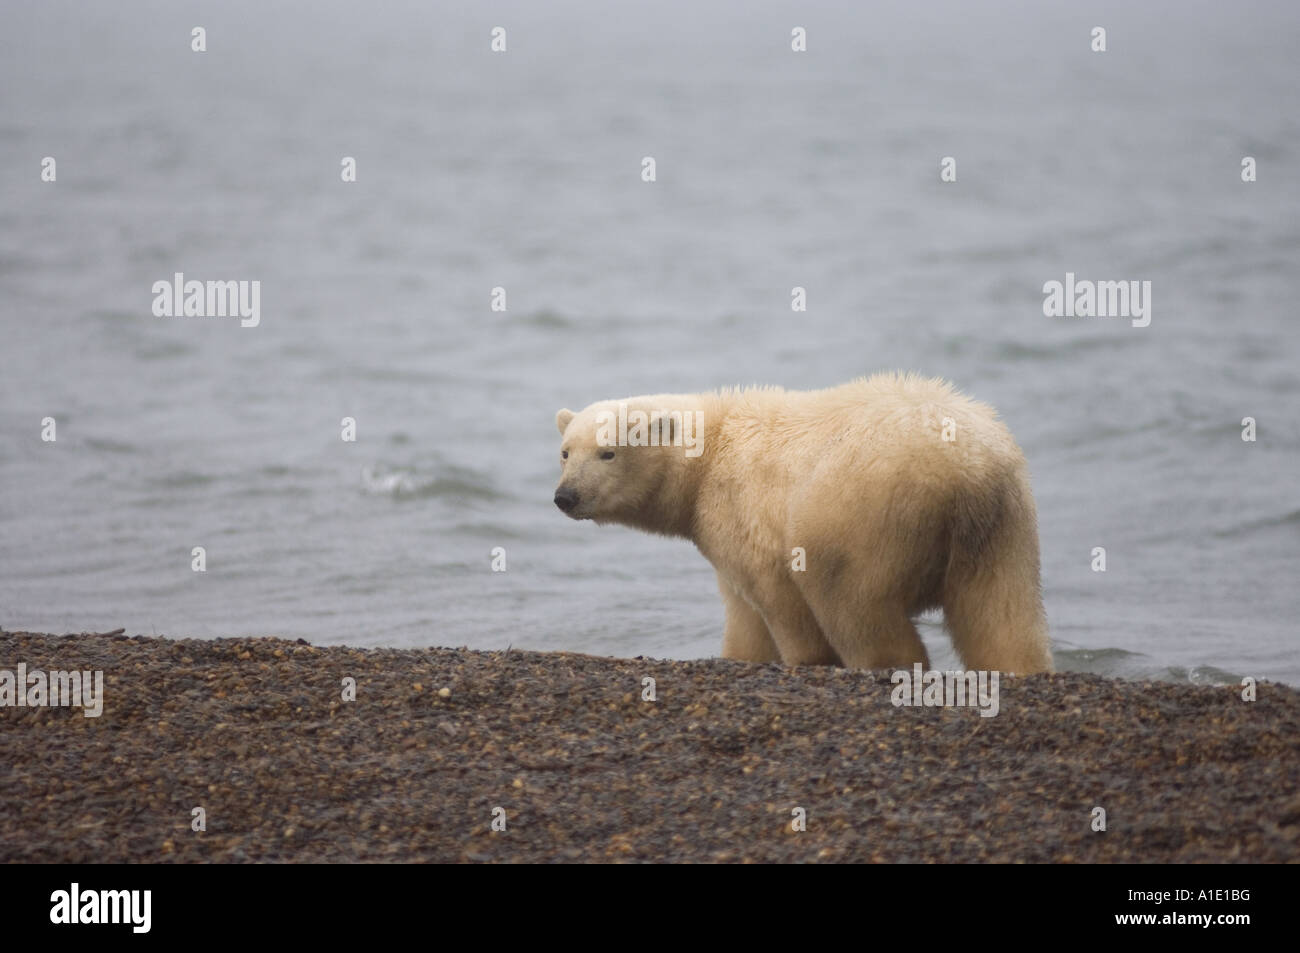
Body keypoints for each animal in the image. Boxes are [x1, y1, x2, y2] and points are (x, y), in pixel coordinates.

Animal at [553, 373, 1053, 674]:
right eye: (565, 451)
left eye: (607, 452)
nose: (565, 496)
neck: (710, 451)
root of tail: (964, 472)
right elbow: (744, 618)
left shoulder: (744, 510)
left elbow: (779, 599)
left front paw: (803, 659)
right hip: (1003, 524)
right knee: (1001, 612)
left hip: (859, 512)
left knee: (850, 598)